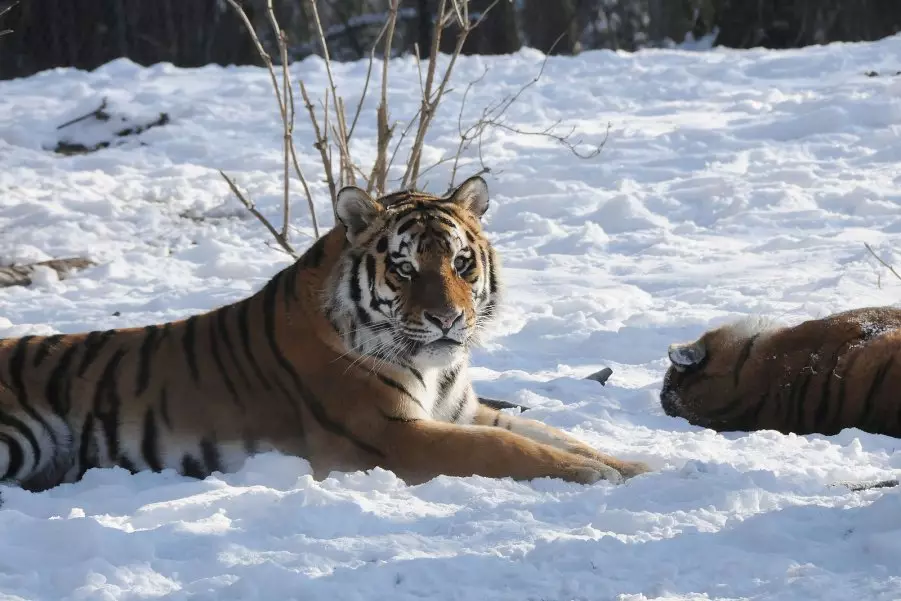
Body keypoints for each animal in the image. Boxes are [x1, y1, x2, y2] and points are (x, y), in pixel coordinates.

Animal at [0, 175, 652, 492]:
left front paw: (640, 467)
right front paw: (594, 478)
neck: (437, 367)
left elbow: (554, 434)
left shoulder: (464, 411)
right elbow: (508, 449)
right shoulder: (391, 435)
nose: (448, 319)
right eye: (405, 267)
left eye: (462, 263)